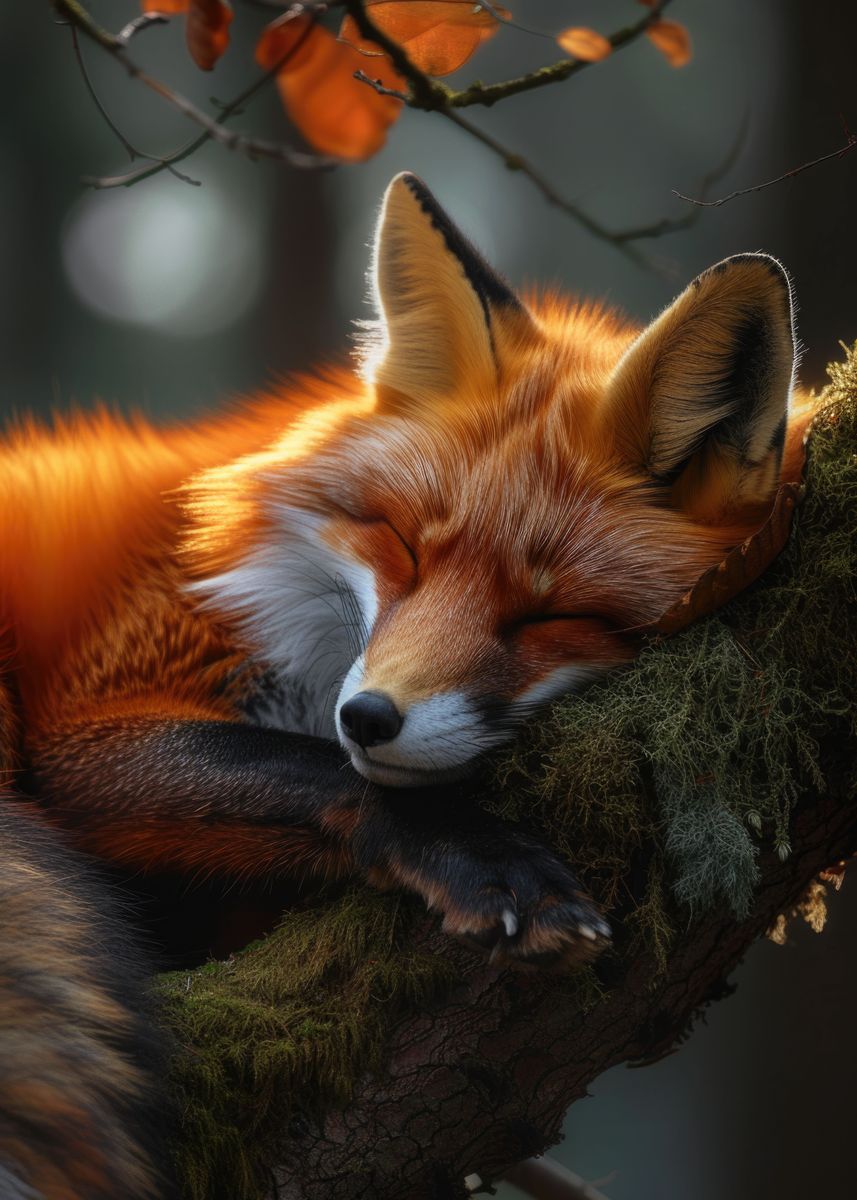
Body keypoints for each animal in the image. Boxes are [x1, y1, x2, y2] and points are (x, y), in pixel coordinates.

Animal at [0, 172, 813, 1199]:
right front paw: (479, 855)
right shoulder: (96, 714)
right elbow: (322, 775)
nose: (367, 717)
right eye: (405, 549)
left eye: (550, 617)